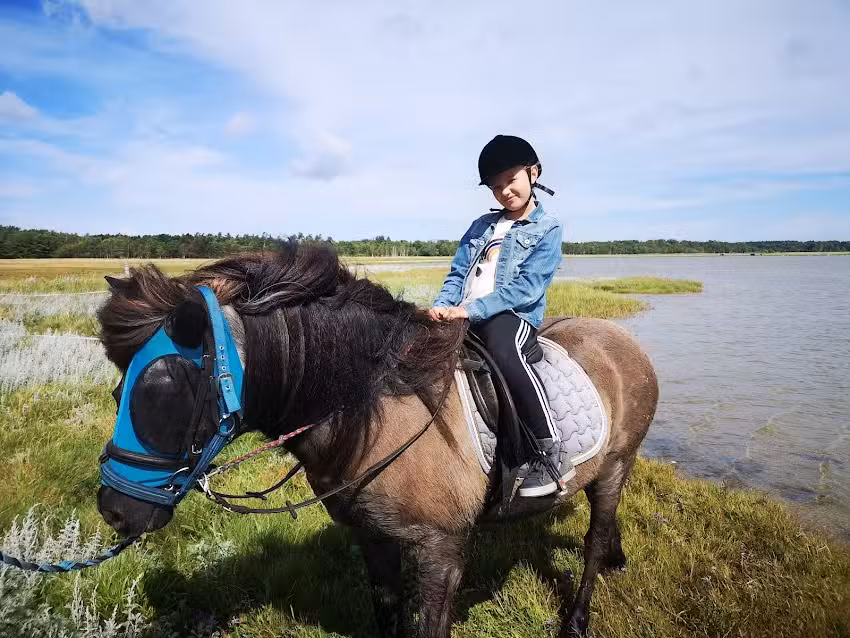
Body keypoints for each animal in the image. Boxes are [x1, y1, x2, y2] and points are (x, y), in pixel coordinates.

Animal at [96, 243, 658, 638]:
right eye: (118, 388)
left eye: (165, 389)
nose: (113, 511)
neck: (379, 412)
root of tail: (624, 341)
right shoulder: (374, 538)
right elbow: (387, 613)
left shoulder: (441, 552)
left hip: (615, 466)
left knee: (592, 544)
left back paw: (578, 619)